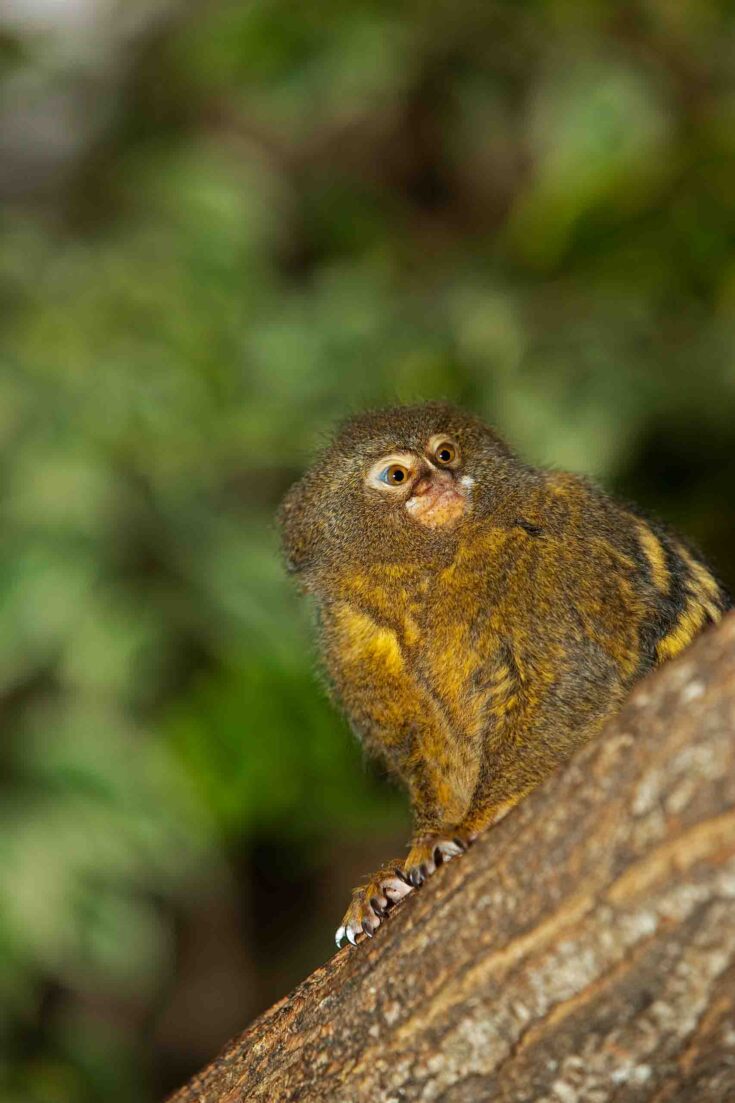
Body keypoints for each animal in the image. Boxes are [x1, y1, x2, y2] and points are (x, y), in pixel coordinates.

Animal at [278, 402, 732, 948]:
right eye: (397, 476)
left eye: (445, 453)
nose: (441, 481)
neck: (427, 576)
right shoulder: (353, 637)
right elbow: (424, 747)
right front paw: (405, 863)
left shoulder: (552, 552)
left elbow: (571, 678)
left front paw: (470, 822)